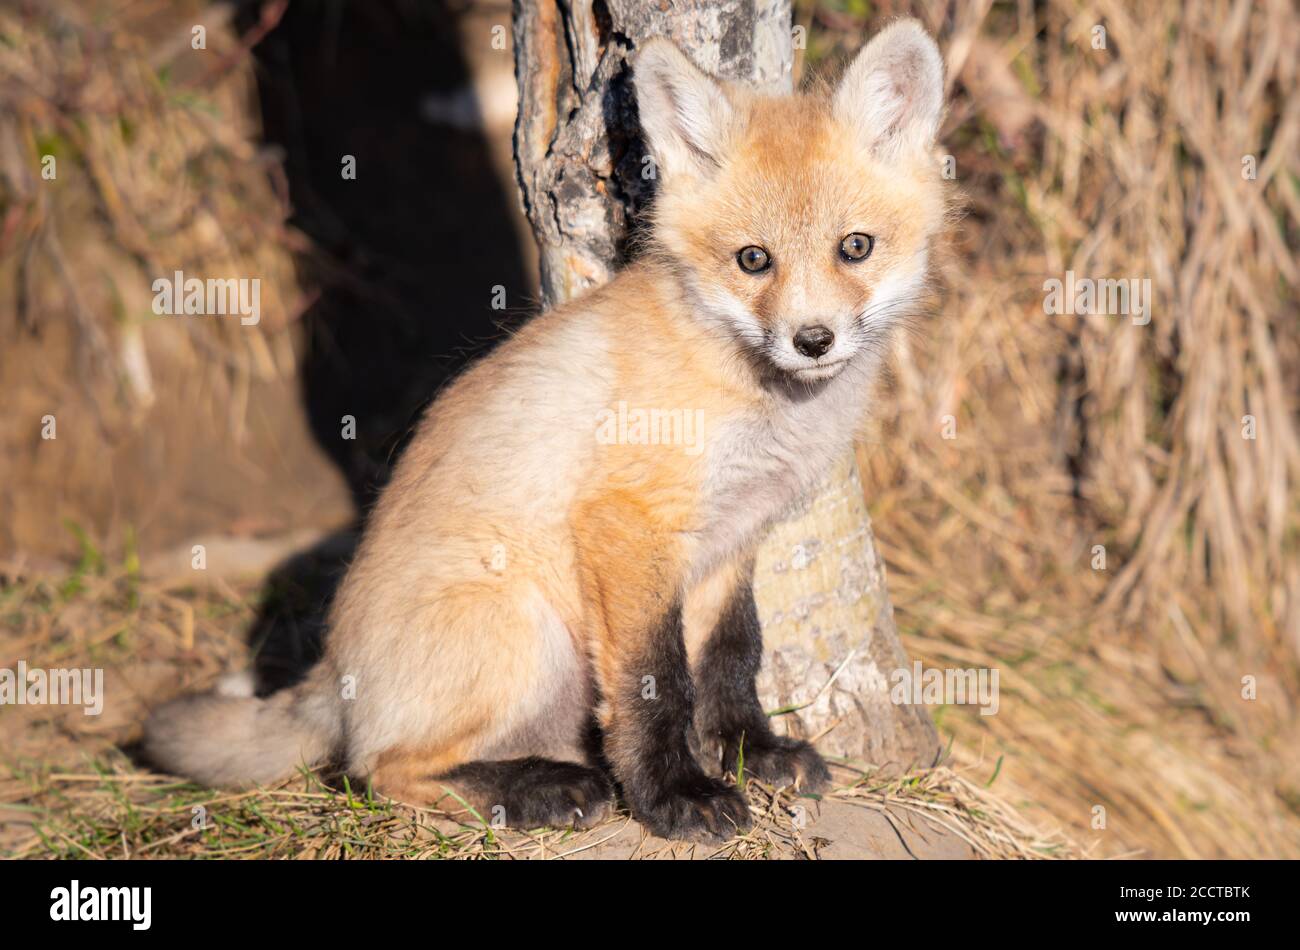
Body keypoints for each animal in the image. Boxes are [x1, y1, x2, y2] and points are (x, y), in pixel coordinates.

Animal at [145, 19, 948, 842]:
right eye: (753, 260)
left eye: (855, 247)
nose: (813, 340)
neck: (754, 398)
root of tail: (332, 671)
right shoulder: (628, 524)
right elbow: (656, 683)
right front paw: (675, 796)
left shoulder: (734, 539)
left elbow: (732, 657)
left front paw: (753, 753)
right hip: (523, 631)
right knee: (376, 769)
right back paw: (540, 790)